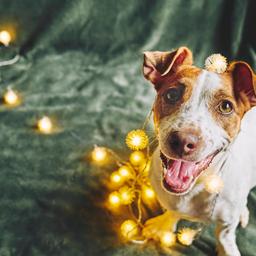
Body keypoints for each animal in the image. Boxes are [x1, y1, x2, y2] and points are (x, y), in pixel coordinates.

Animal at [142, 46, 256, 256]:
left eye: (226, 106)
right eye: (171, 95)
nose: (183, 140)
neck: (199, 185)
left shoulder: (226, 226)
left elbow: (225, 236)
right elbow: (173, 211)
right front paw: (163, 225)